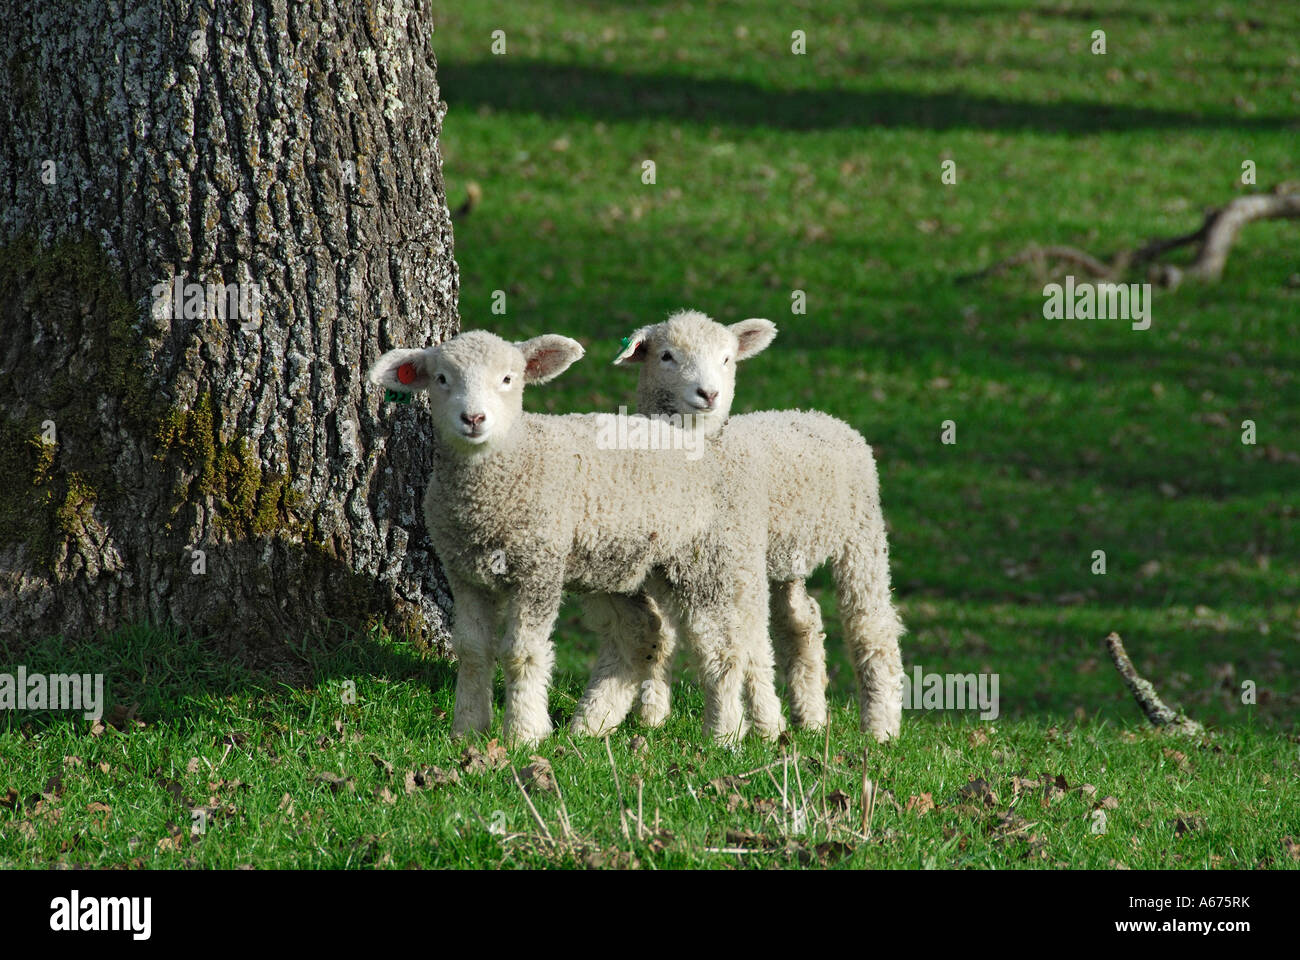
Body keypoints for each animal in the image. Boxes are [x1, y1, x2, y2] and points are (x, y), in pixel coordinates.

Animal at [367, 329, 786, 746]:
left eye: (508, 379)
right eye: (441, 379)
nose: (473, 418)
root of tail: (699, 439)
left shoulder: (539, 568)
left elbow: (521, 653)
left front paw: (525, 733)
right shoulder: (464, 573)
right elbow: (471, 648)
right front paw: (468, 730)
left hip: (700, 556)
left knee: (721, 647)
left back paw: (724, 733)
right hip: (620, 562)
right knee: (639, 633)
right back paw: (592, 723)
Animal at [571, 309, 905, 742]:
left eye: (727, 359)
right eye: (666, 356)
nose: (709, 393)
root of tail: (823, 417)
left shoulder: (732, 564)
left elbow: (748, 643)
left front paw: (764, 724)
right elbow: (663, 636)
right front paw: (652, 714)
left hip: (860, 535)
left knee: (870, 625)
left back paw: (879, 726)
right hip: (781, 555)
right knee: (800, 622)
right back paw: (812, 718)